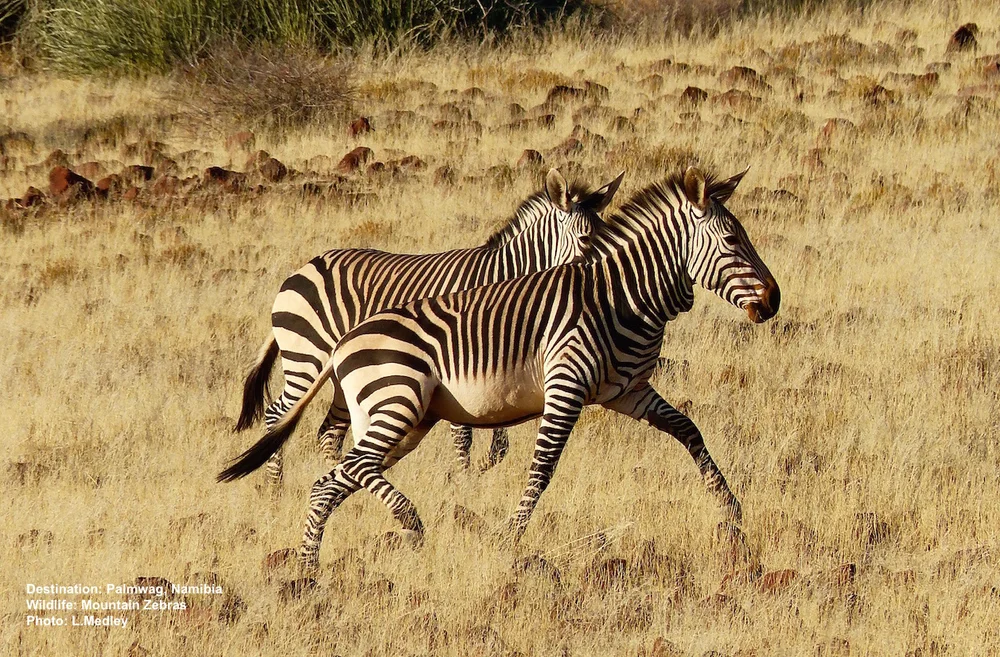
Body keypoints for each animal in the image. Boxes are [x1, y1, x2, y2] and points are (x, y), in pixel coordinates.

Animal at [233, 168, 625, 486]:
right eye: (587, 239)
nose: (609, 280)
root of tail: (302, 269)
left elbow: (498, 435)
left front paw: (481, 468)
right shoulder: (463, 354)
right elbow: (465, 432)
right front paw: (463, 481)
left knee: (330, 429)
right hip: (307, 358)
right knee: (278, 413)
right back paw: (276, 485)